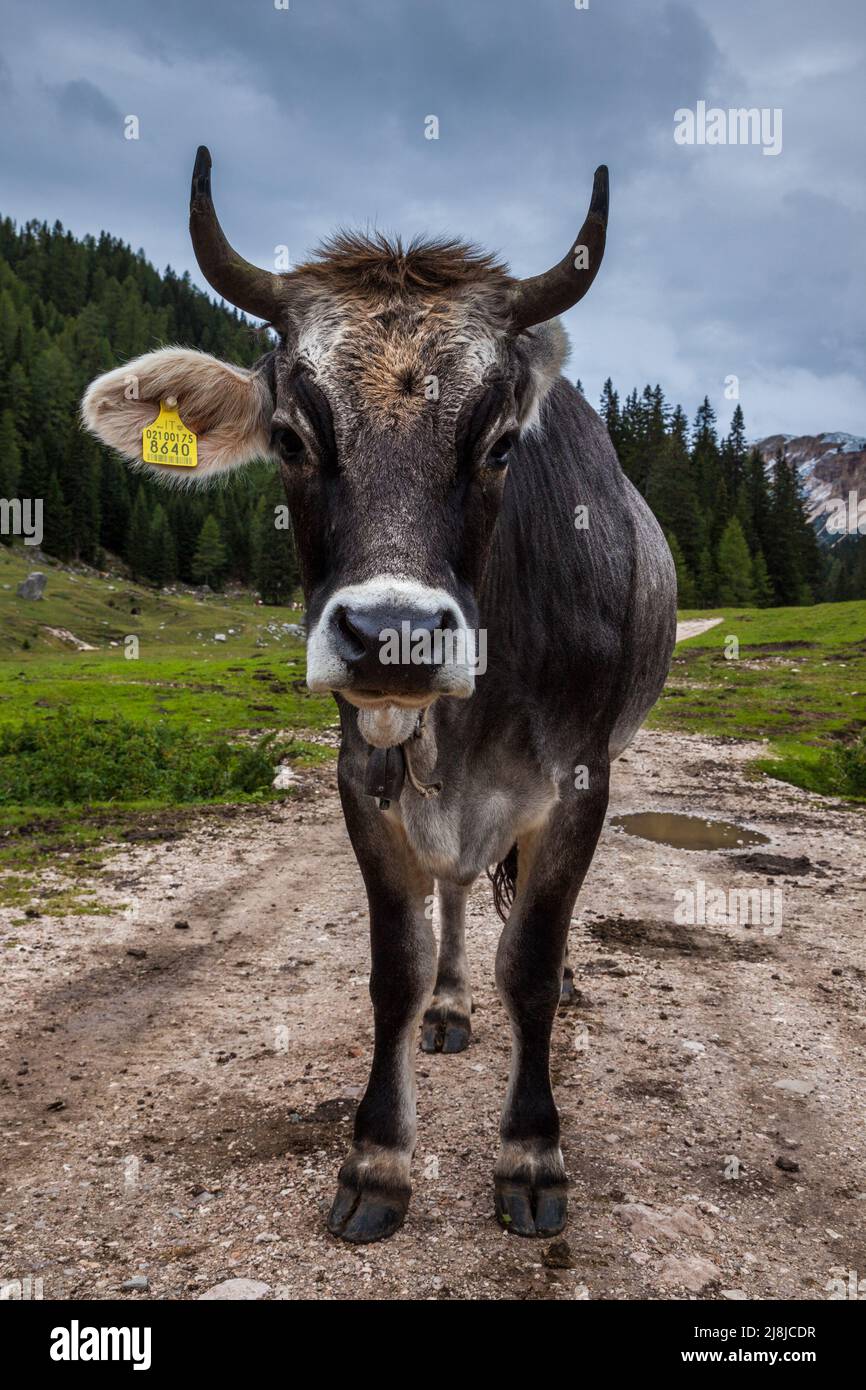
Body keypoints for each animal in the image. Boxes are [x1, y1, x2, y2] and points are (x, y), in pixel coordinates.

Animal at [82, 147, 676, 1245]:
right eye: (287, 436)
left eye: (498, 443)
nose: (393, 635)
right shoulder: (364, 778)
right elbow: (394, 966)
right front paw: (378, 1160)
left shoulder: (580, 780)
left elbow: (531, 960)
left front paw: (531, 1153)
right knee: (456, 892)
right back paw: (451, 1004)